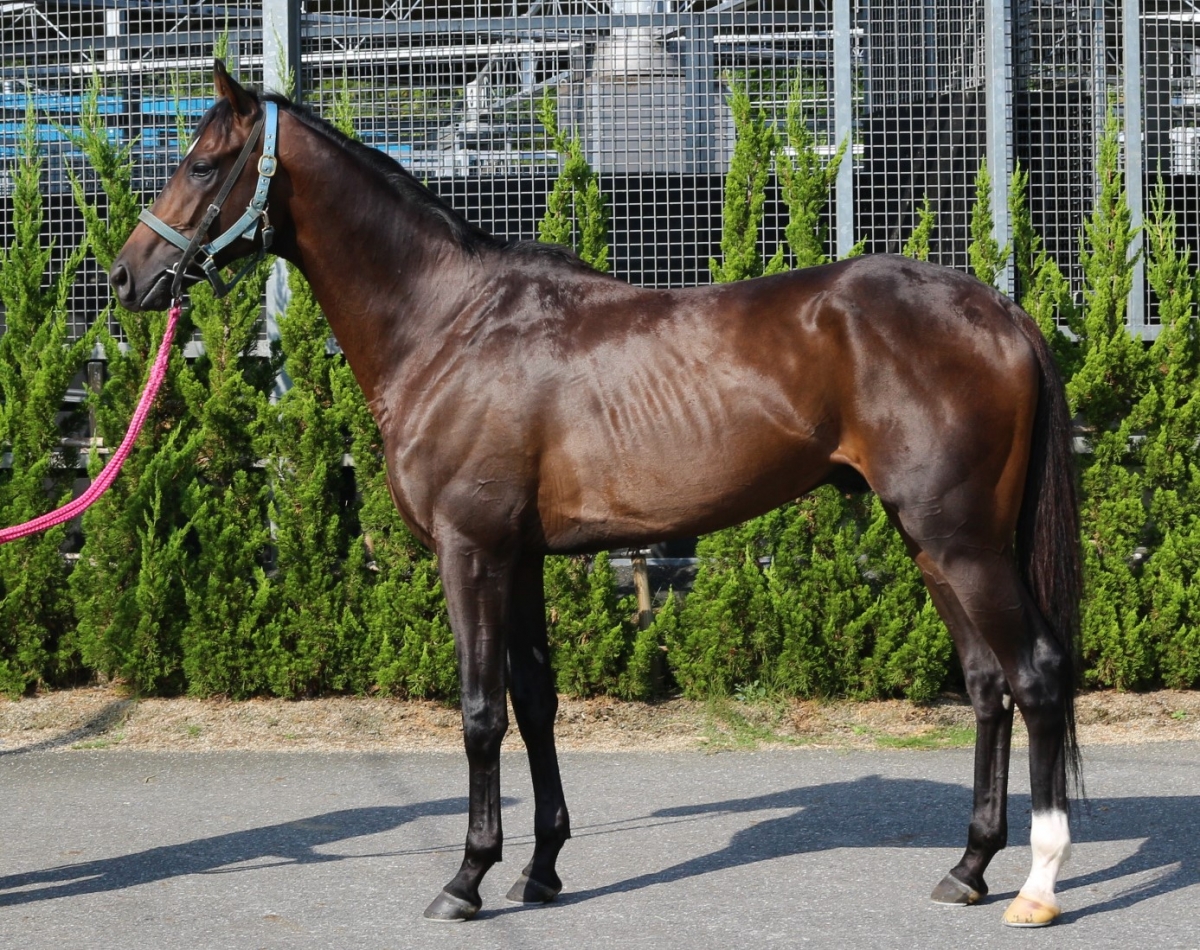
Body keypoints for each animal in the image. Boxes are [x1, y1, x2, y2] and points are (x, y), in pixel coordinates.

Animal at [110, 62, 1082, 928]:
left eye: (203, 163)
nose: (126, 276)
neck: (449, 323)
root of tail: (1000, 311)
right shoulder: (520, 556)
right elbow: (535, 702)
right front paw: (539, 869)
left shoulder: (471, 551)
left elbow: (479, 712)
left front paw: (466, 879)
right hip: (931, 540)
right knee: (988, 683)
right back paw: (968, 867)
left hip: (961, 539)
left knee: (1035, 675)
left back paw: (1036, 887)